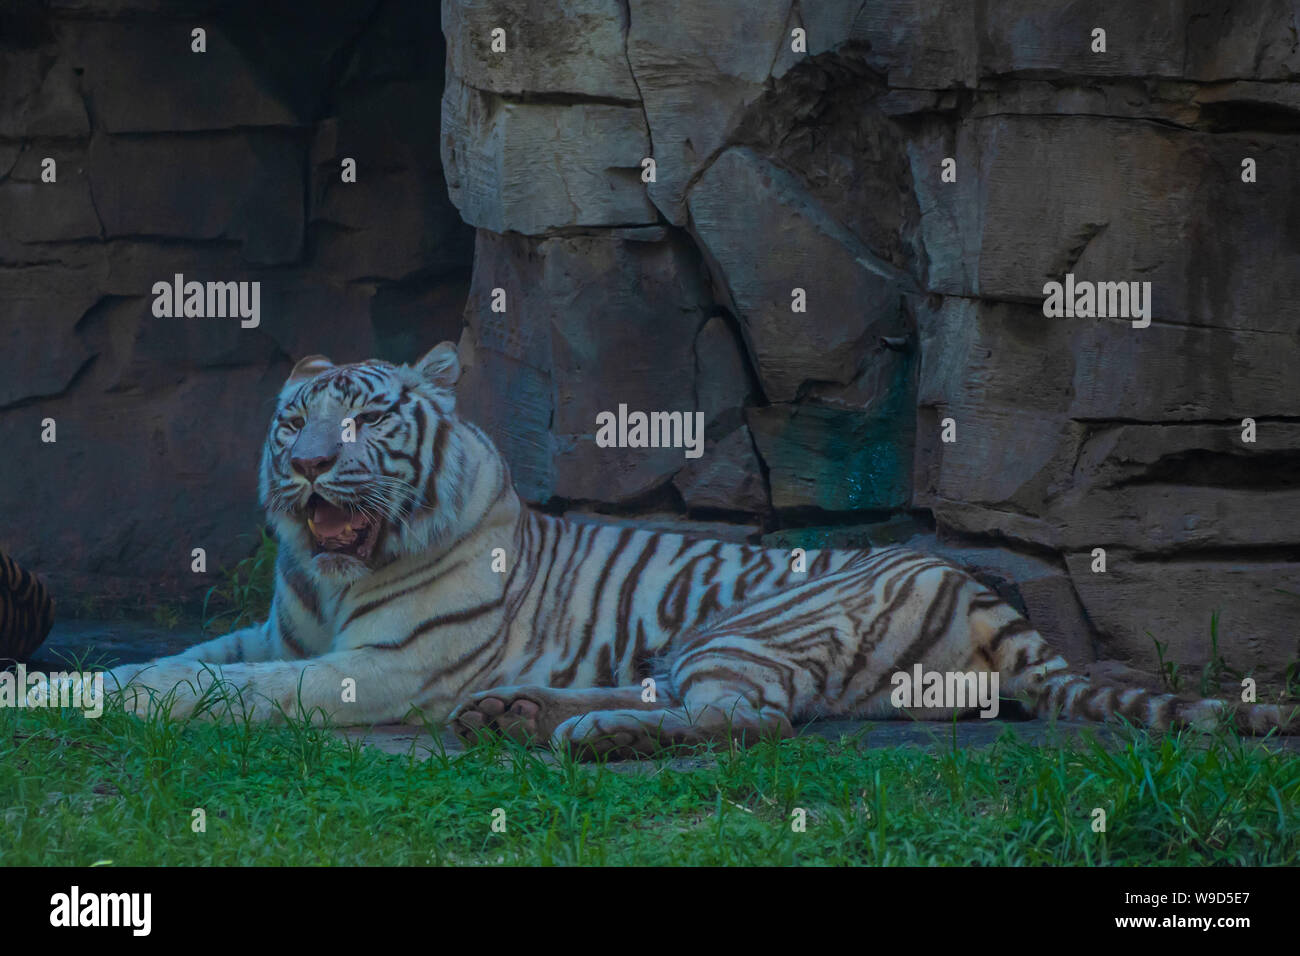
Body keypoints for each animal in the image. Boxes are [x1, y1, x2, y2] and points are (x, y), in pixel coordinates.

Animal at [107, 342, 1296, 757]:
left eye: (361, 420)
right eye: (292, 420)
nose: (308, 469)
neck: (330, 576)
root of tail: (977, 584)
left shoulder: (376, 667)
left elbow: (240, 691)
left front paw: (134, 699)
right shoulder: (278, 628)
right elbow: (193, 658)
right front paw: (92, 679)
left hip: (746, 625)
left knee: (749, 721)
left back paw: (583, 737)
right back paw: (519, 713)